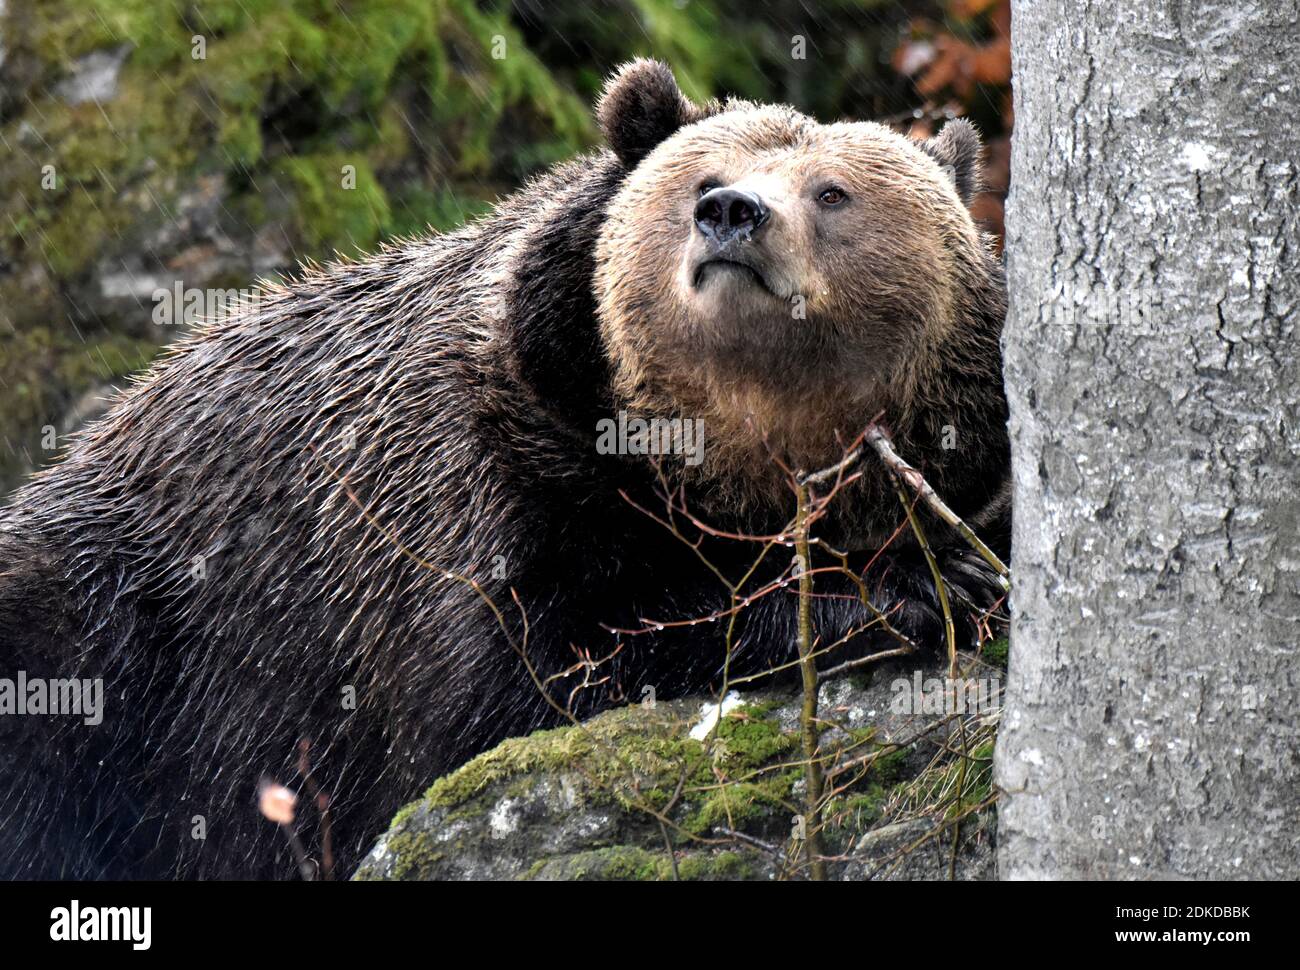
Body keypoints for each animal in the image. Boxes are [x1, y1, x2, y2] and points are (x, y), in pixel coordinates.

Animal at [0, 60, 1008, 880]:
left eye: (833, 192)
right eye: (703, 174)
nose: (731, 215)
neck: (719, 458)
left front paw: (944, 573)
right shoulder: (485, 472)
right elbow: (525, 672)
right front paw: (914, 587)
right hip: (129, 624)